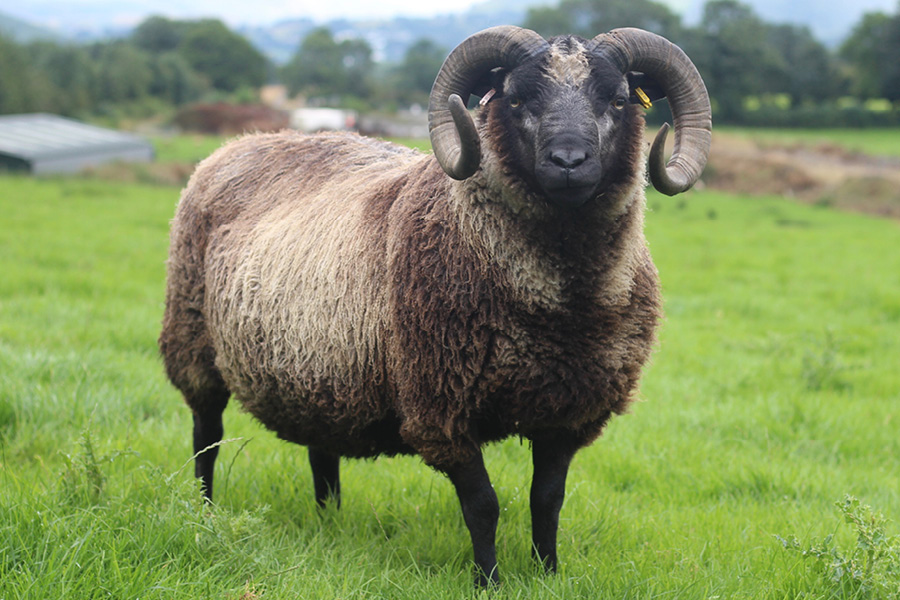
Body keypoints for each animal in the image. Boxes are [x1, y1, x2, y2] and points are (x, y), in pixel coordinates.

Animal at [159, 25, 711, 585]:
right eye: (516, 99)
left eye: (618, 100)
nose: (569, 163)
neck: (557, 310)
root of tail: (242, 142)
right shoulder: (440, 404)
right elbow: (483, 505)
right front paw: (488, 582)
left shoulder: (568, 410)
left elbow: (548, 500)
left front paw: (549, 573)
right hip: (193, 341)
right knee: (206, 435)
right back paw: (204, 512)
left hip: (319, 369)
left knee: (322, 452)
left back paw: (328, 521)